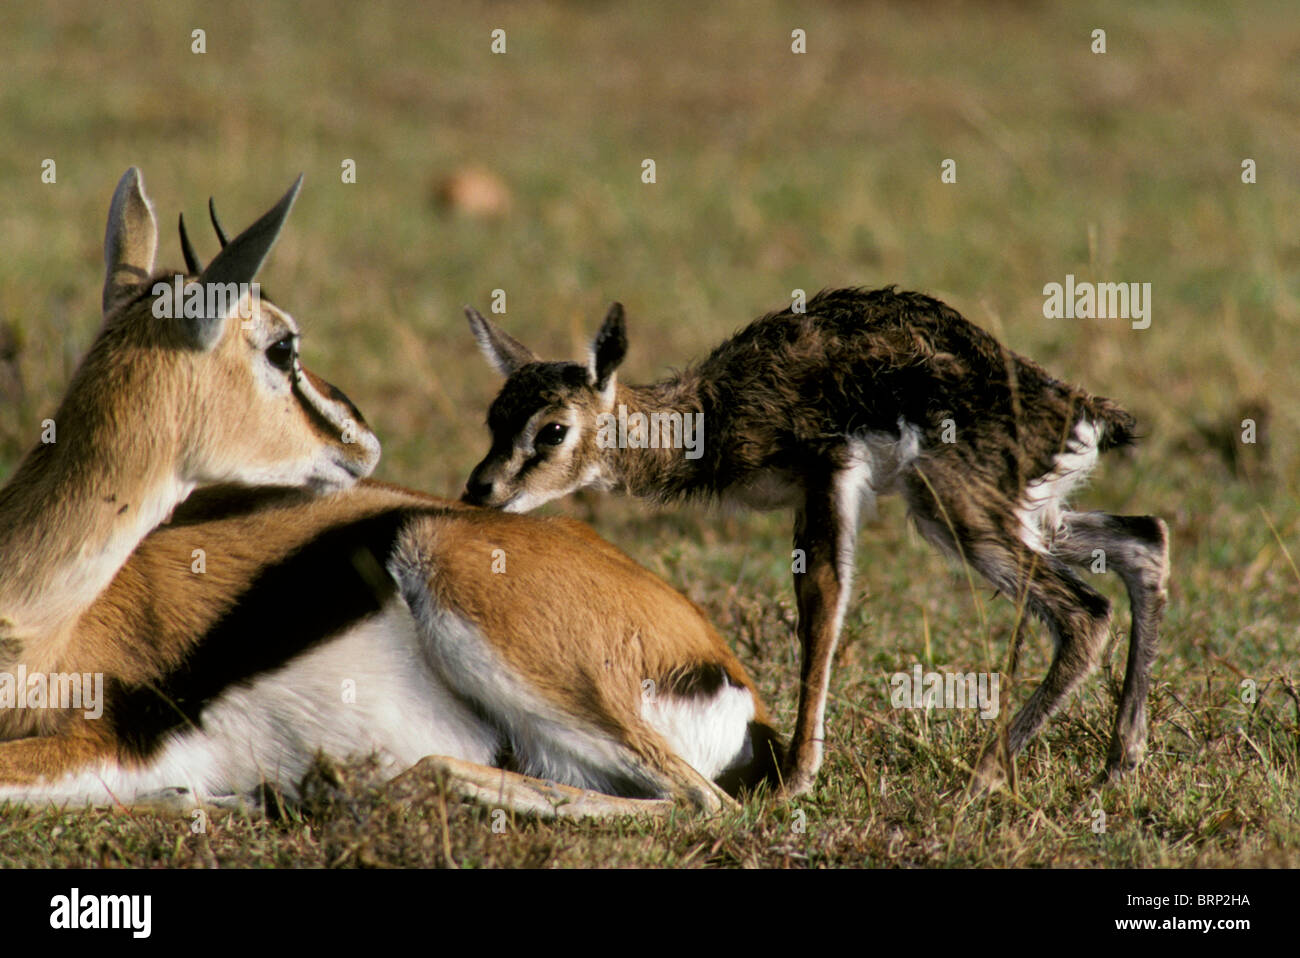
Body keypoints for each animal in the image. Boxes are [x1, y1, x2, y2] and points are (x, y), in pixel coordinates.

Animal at [0, 174, 781, 818]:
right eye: (283, 349)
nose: (362, 437)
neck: (47, 631)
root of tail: (721, 664)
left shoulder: (111, 741)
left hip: (461, 587)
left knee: (700, 802)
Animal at [462, 287, 1171, 797]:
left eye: (552, 429)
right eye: (494, 417)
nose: (480, 489)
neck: (713, 411)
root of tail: (1082, 412)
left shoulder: (825, 474)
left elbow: (822, 604)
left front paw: (796, 782)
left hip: (961, 516)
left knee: (1087, 611)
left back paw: (975, 784)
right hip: (1028, 515)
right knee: (1145, 540)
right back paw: (1117, 766)